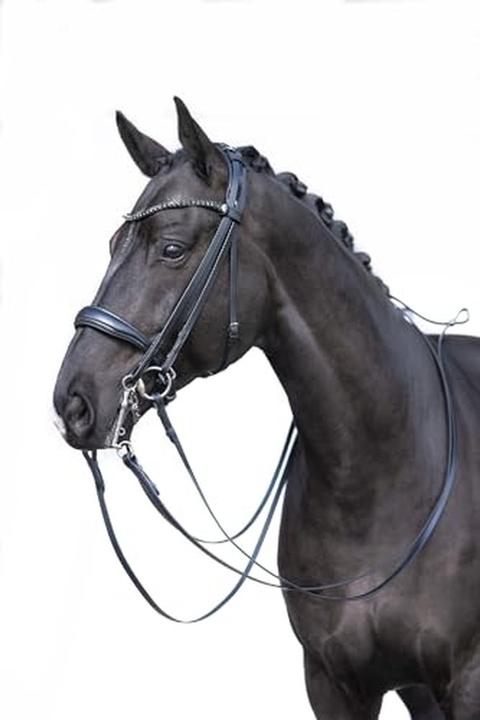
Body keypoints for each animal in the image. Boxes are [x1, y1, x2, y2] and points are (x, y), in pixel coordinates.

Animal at [53, 98, 480, 720]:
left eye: (172, 248)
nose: (73, 401)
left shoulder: (466, 680)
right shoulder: (333, 682)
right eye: (113, 245)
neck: (386, 472)